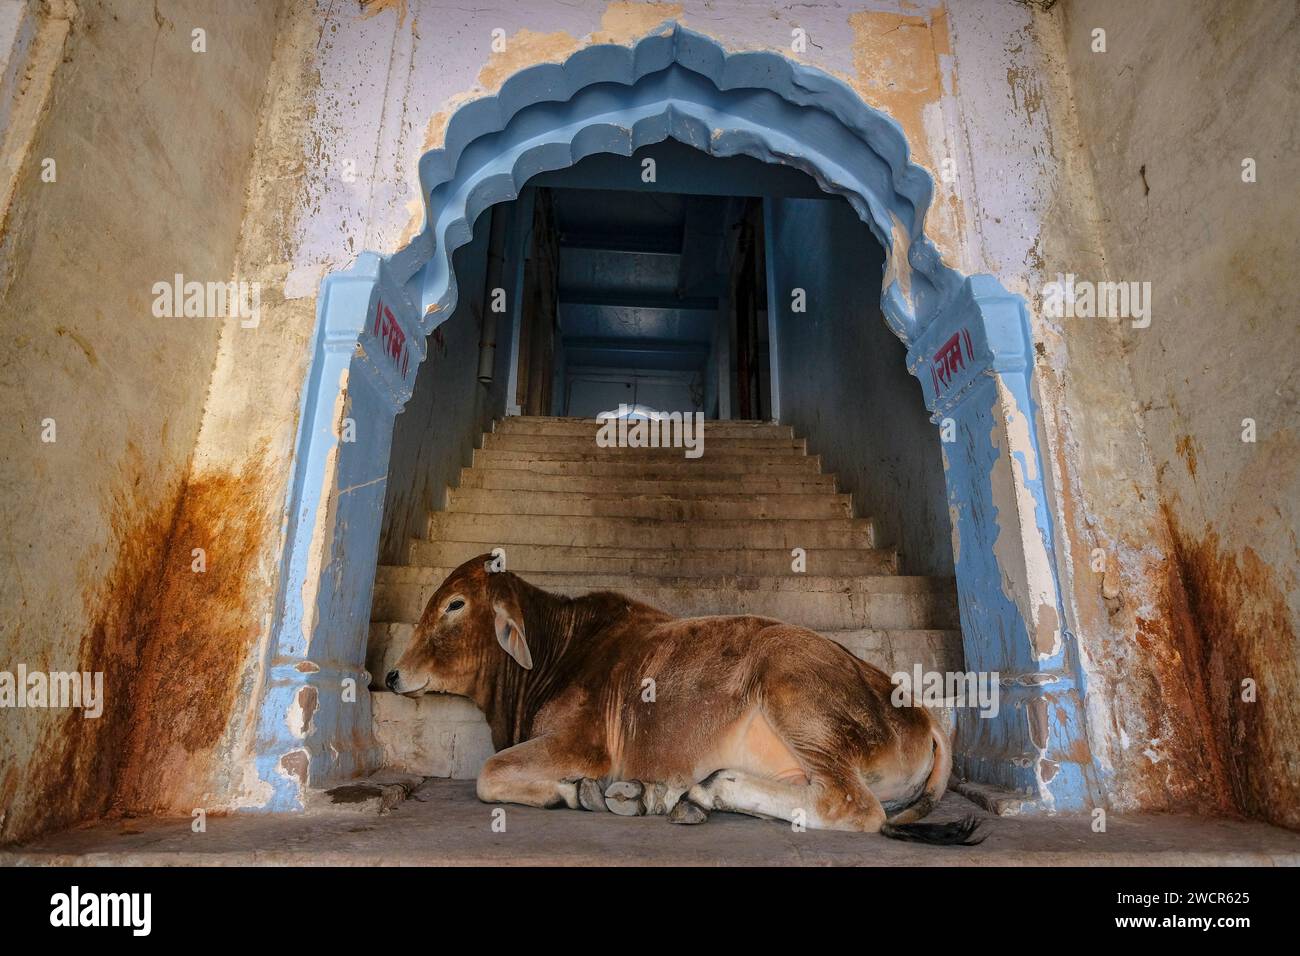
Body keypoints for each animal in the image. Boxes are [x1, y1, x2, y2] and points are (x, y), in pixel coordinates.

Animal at [386, 554, 984, 844]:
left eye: (455, 604)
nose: (391, 674)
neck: (558, 653)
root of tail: (922, 711)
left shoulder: (583, 744)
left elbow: (489, 775)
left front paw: (578, 792)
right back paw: (677, 795)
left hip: (792, 688)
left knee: (853, 806)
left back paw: (704, 789)